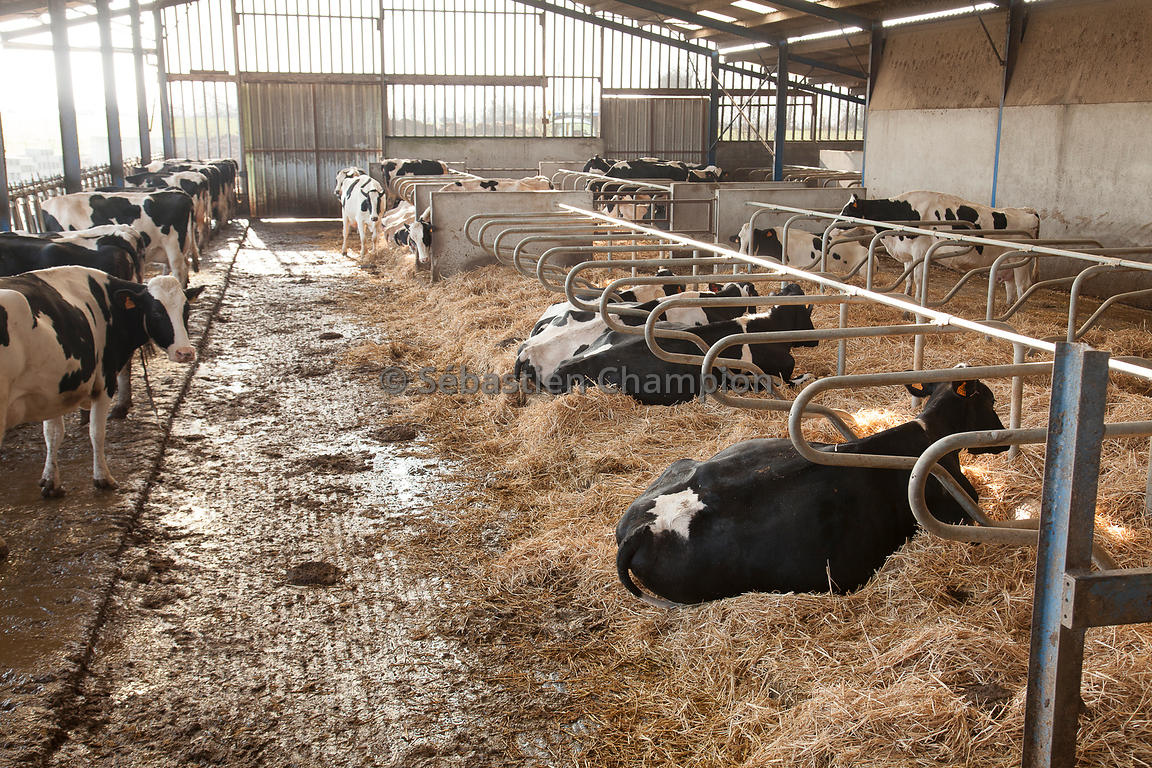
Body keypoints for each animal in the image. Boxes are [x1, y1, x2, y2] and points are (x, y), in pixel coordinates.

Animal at [838, 192, 1046, 303]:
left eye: (847, 210)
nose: (832, 223)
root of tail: (1027, 211)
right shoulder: (908, 253)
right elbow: (908, 278)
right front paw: (906, 296)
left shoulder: (920, 251)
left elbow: (919, 279)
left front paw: (917, 302)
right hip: (1009, 264)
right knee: (1011, 287)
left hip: (1020, 261)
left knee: (1022, 286)